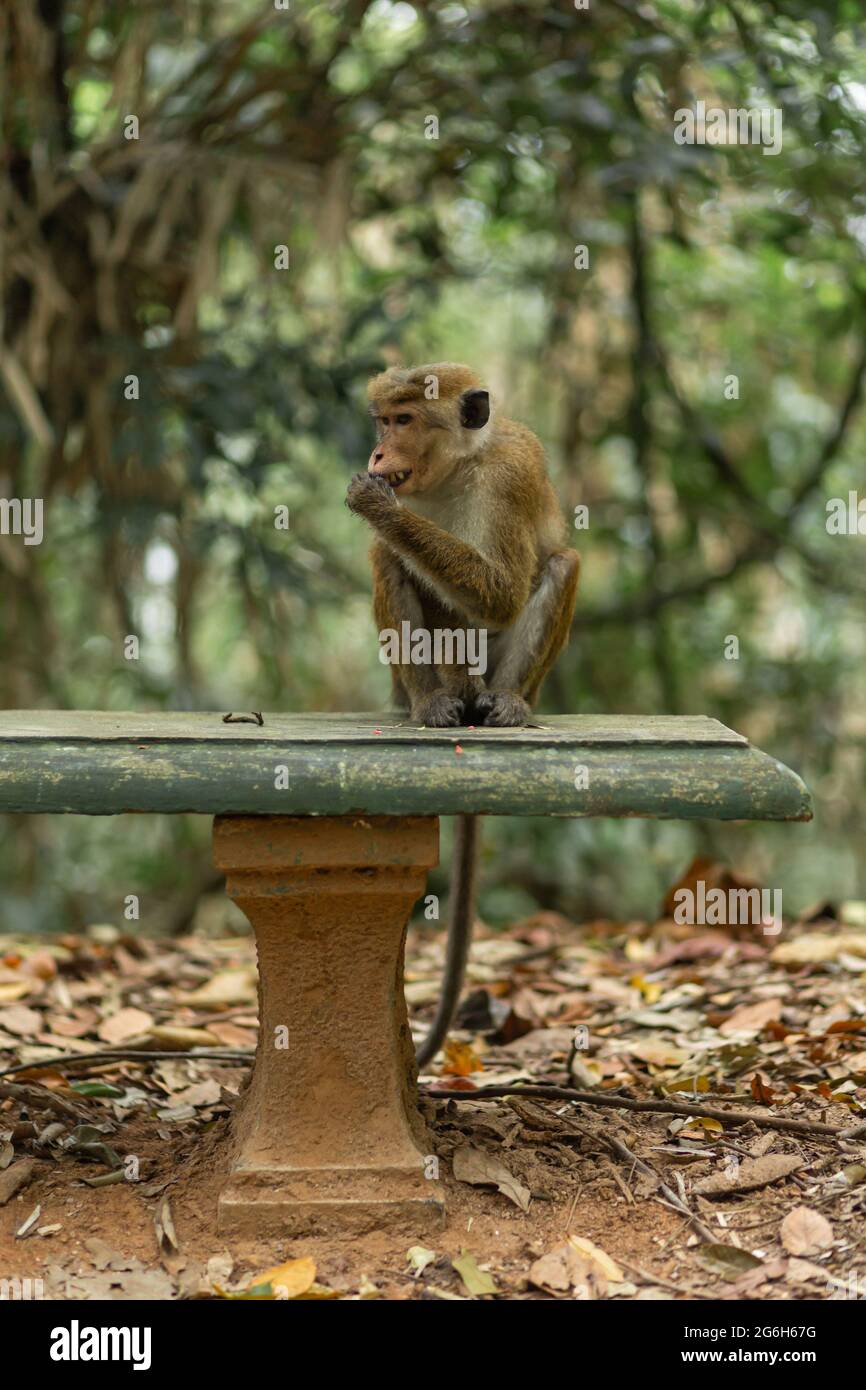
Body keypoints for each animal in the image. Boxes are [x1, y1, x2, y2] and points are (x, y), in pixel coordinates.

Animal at [346, 363, 579, 1067]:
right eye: (382, 420)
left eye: (404, 420)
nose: (376, 454)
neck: (456, 468)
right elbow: (401, 561)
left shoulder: (509, 476)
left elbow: (500, 592)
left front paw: (376, 504)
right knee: (390, 560)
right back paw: (435, 702)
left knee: (560, 562)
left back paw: (503, 703)